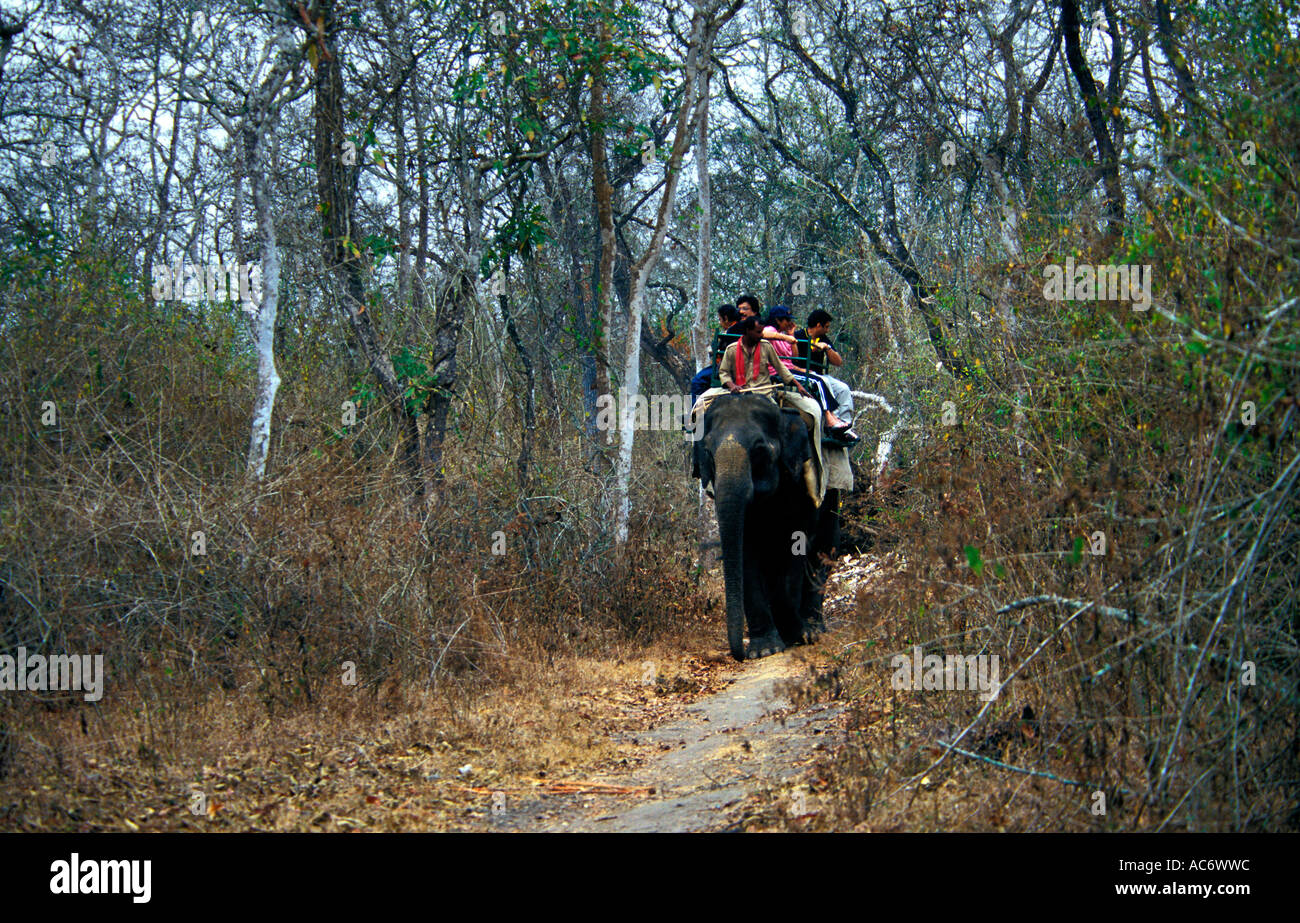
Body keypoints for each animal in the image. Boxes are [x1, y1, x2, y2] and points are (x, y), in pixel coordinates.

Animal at [693, 393, 840, 660]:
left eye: (759, 450)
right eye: (707, 452)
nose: (738, 654)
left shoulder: (800, 483)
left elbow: (795, 546)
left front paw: (800, 636)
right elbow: (747, 551)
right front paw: (765, 649)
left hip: (832, 490)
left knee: (824, 547)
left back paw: (814, 627)